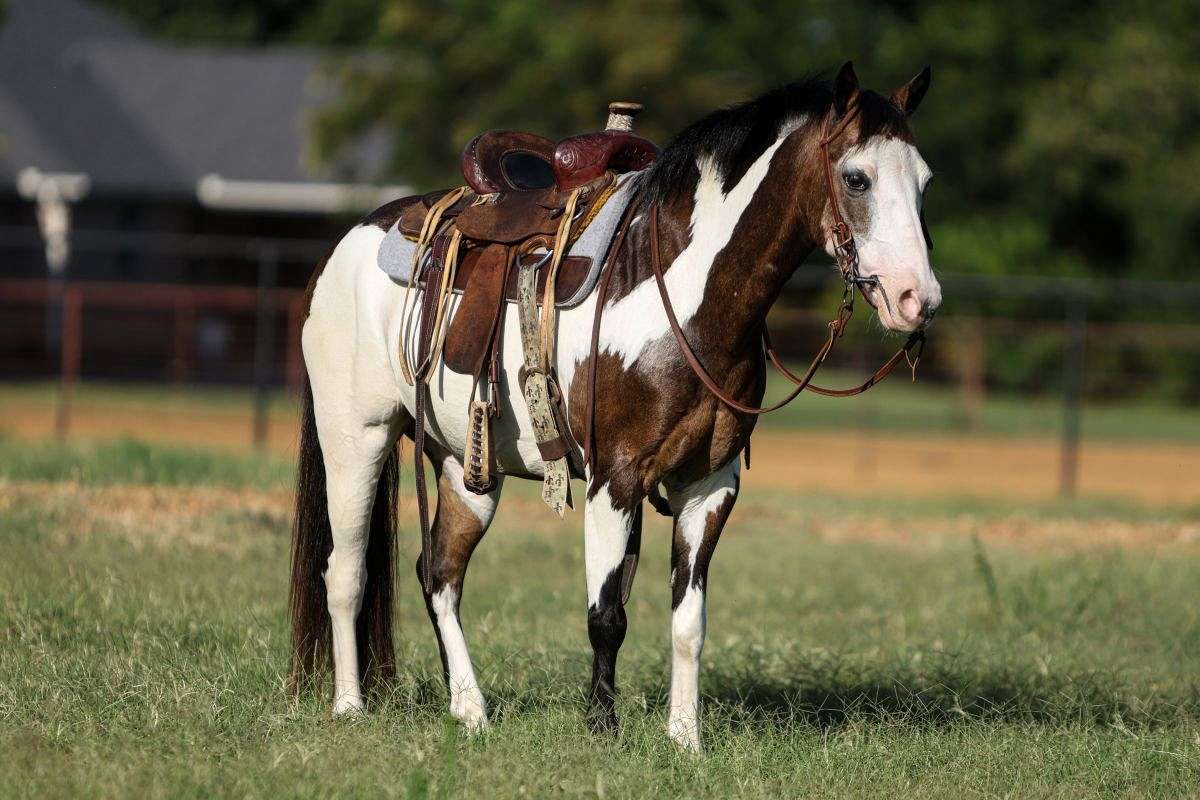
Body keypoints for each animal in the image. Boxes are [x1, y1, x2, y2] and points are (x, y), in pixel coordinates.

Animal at [288, 62, 941, 751]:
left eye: (924, 181)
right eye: (856, 177)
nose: (916, 299)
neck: (683, 296)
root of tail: (344, 246)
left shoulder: (710, 485)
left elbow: (688, 621)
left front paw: (685, 739)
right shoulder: (616, 478)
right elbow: (606, 614)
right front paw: (603, 726)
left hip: (466, 468)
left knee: (439, 573)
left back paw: (470, 710)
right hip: (356, 438)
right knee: (345, 573)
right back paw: (350, 707)